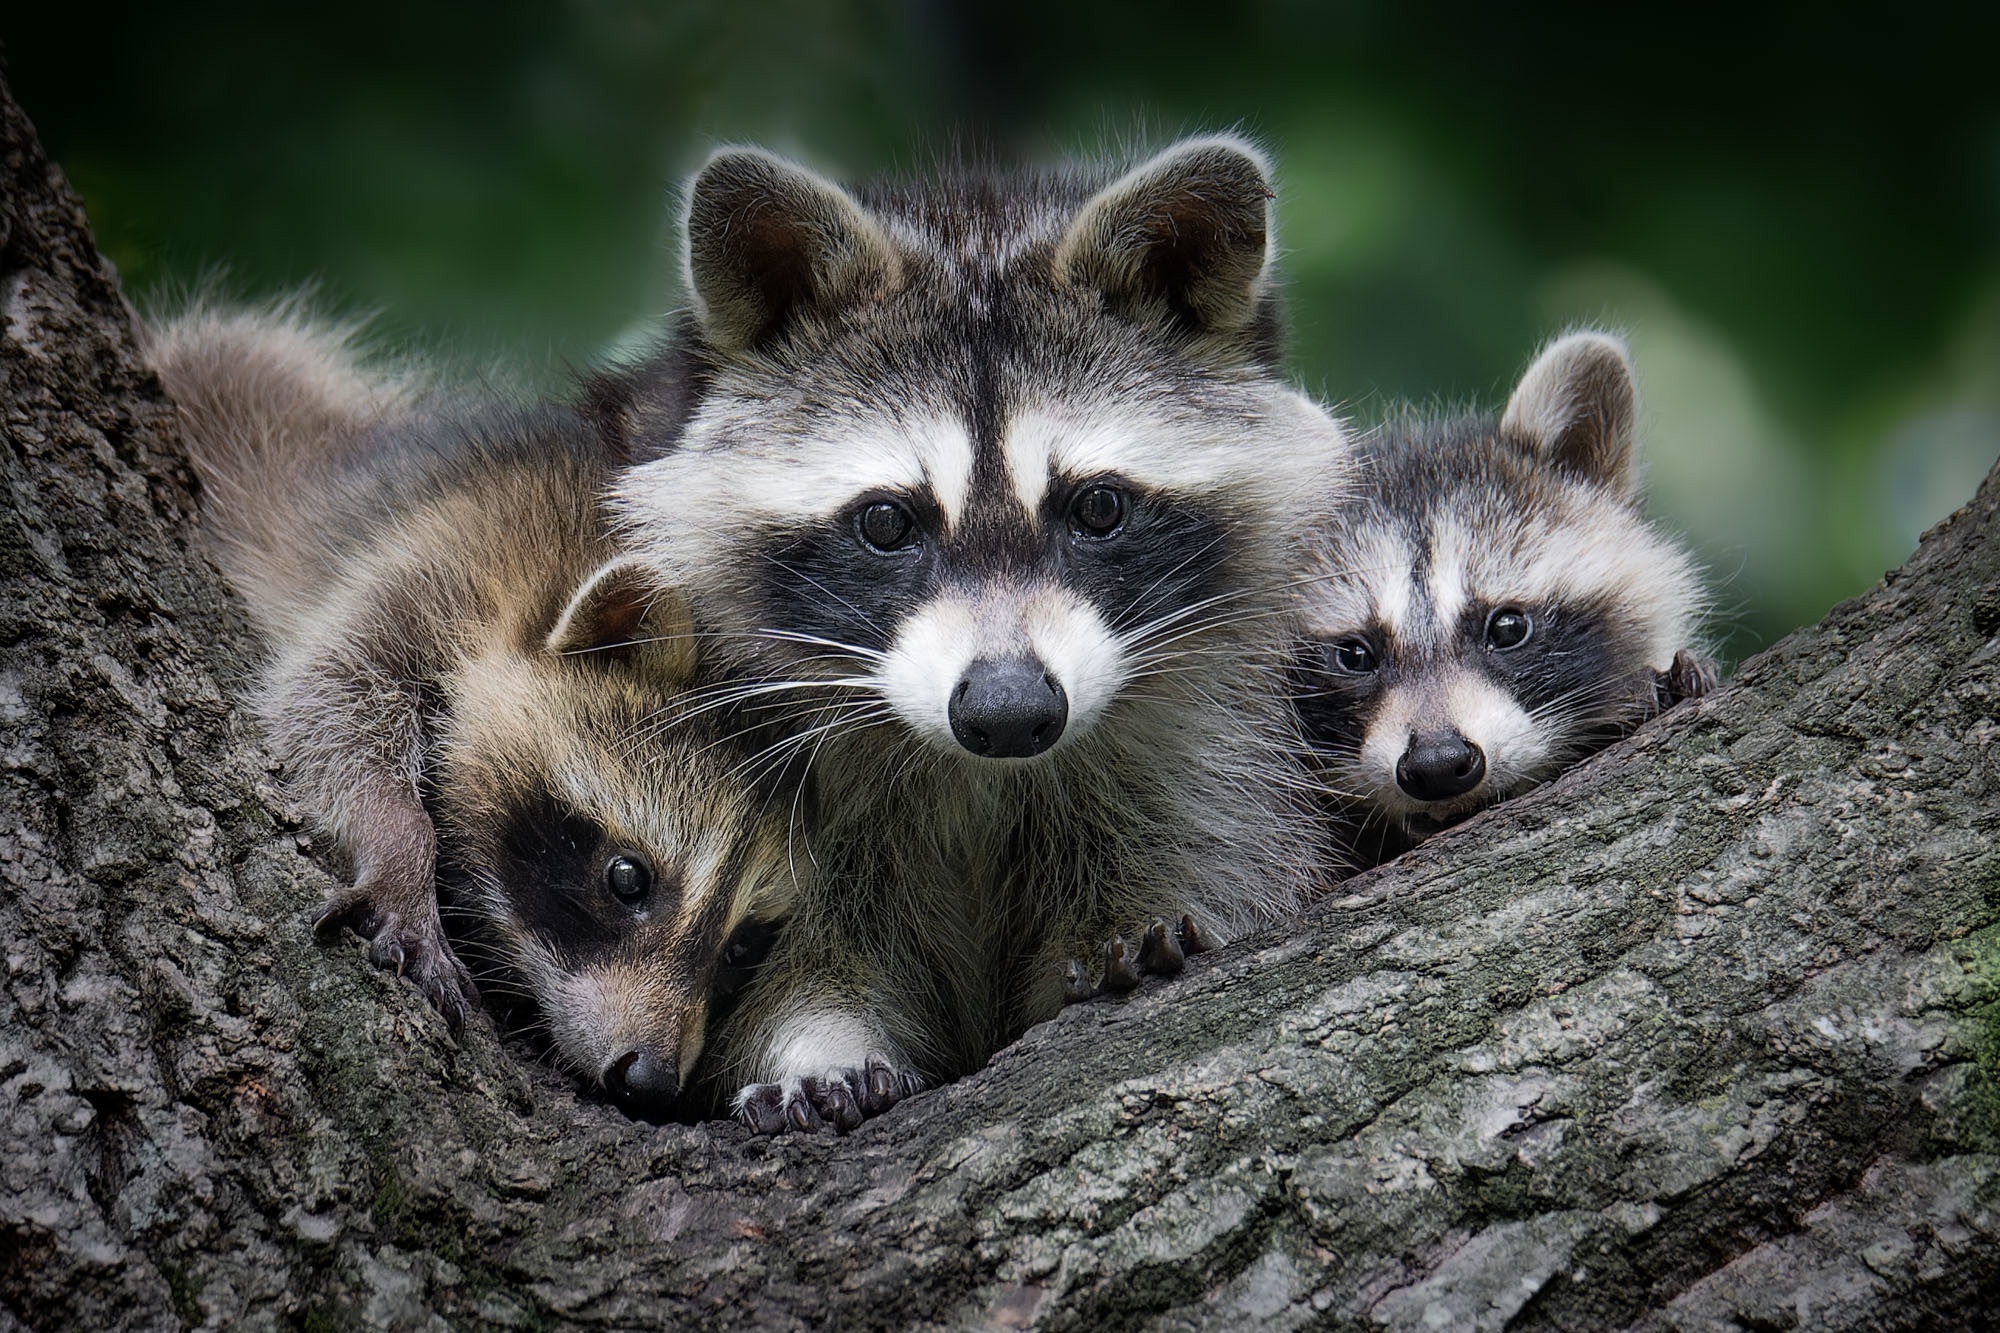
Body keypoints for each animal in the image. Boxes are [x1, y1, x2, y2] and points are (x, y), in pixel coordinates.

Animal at [145, 306, 793, 1114]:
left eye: (743, 944)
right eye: (628, 878)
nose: (649, 1080)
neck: (558, 569)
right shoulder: (443, 552)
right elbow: (329, 697)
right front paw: (398, 843)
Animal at [592, 136, 1352, 1132]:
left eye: (1098, 507)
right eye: (886, 522)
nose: (1008, 709)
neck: (979, 778)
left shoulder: (1206, 738)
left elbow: (1210, 851)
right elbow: (795, 955)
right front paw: (816, 1040)